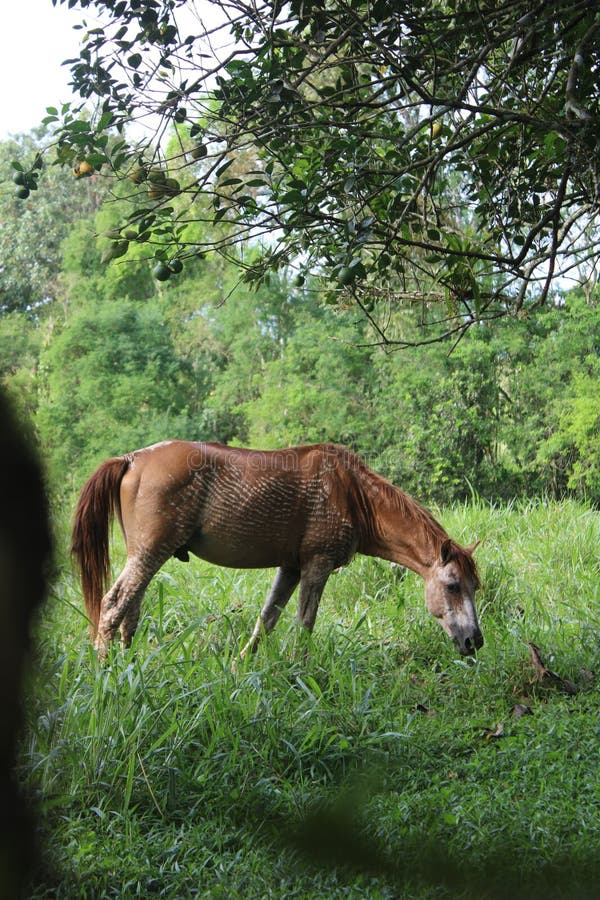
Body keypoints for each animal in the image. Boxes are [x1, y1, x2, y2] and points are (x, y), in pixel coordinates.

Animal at [71, 441, 482, 659]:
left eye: (474, 586)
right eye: (452, 586)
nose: (474, 641)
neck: (353, 493)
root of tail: (132, 459)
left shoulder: (291, 568)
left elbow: (266, 621)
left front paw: (241, 668)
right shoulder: (317, 565)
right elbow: (304, 624)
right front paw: (299, 671)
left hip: (145, 557)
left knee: (130, 613)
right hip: (149, 555)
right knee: (113, 605)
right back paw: (105, 668)